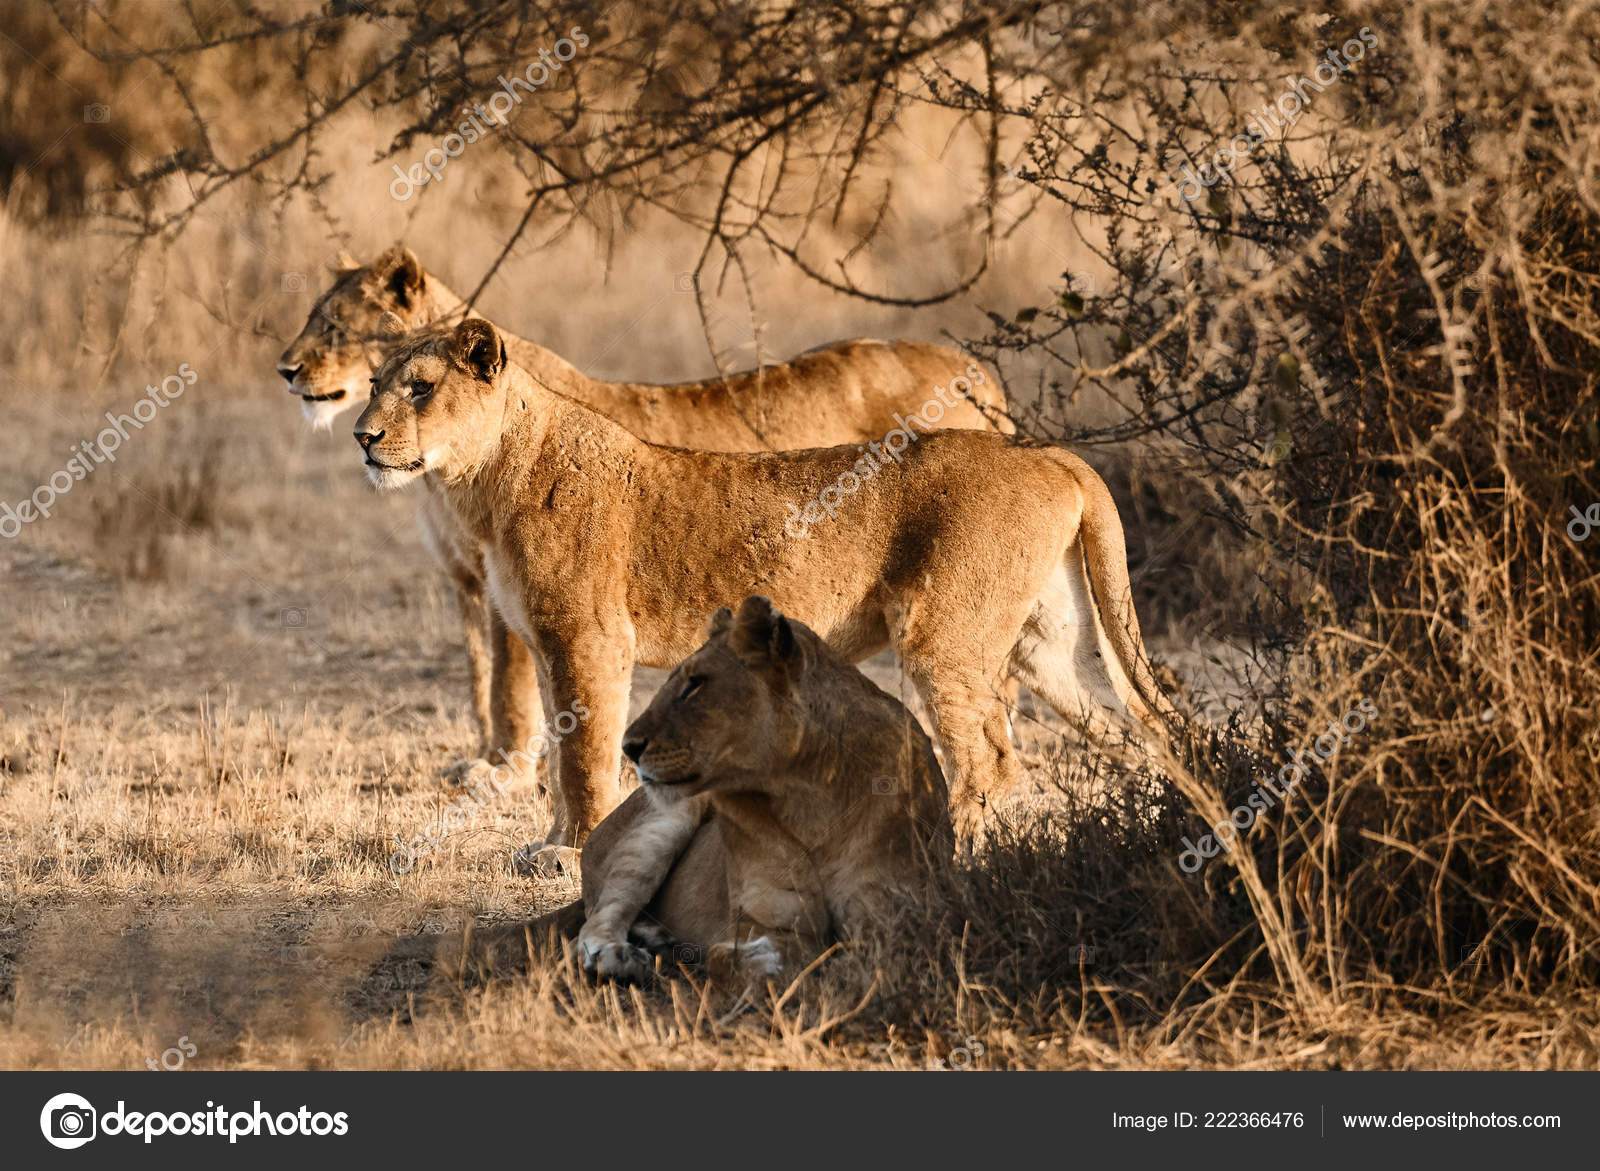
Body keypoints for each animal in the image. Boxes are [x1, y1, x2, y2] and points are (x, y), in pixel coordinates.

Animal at [278, 246, 1012, 795]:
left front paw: (505, 775)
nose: (285, 370)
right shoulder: (472, 583)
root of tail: (973, 366)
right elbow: (483, 679)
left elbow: (509, 689)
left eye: (336, 329)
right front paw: (488, 766)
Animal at [354, 318, 1170, 867]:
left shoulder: (587, 639)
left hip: (941, 636)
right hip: (1052, 645)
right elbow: (559, 755)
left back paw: (950, 859)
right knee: (1140, 727)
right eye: (372, 385)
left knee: (992, 763)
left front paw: (571, 851)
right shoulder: (551, 644)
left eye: (421, 388)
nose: (362, 436)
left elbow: (583, 756)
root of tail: (1044, 452)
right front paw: (553, 843)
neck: (487, 482)